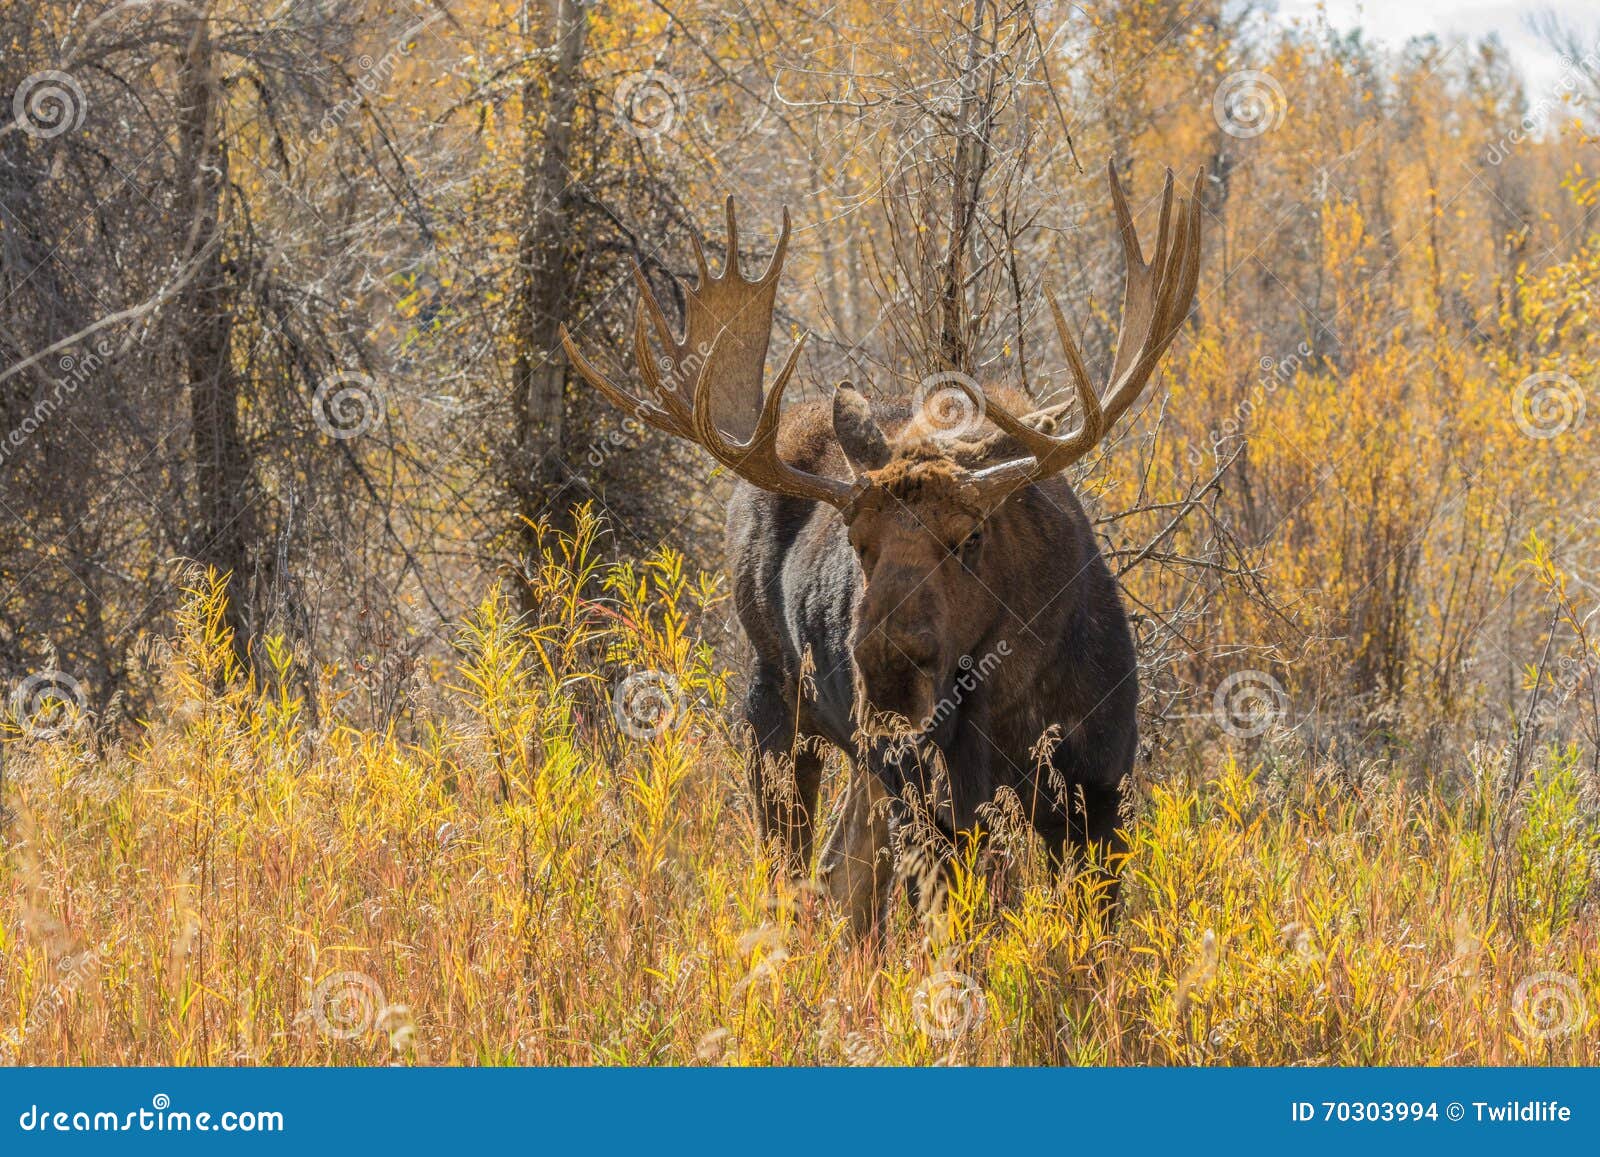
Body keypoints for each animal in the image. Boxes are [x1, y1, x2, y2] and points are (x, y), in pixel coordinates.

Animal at [561, 161, 1203, 933]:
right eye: (857, 542)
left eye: (972, 537)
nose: (888, 664)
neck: (1016, 694)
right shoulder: (937, 797)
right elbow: (956, 933)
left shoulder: (1099, 786)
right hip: (782, 709)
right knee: (801, 869)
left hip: (869, 763)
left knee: (844, 870)